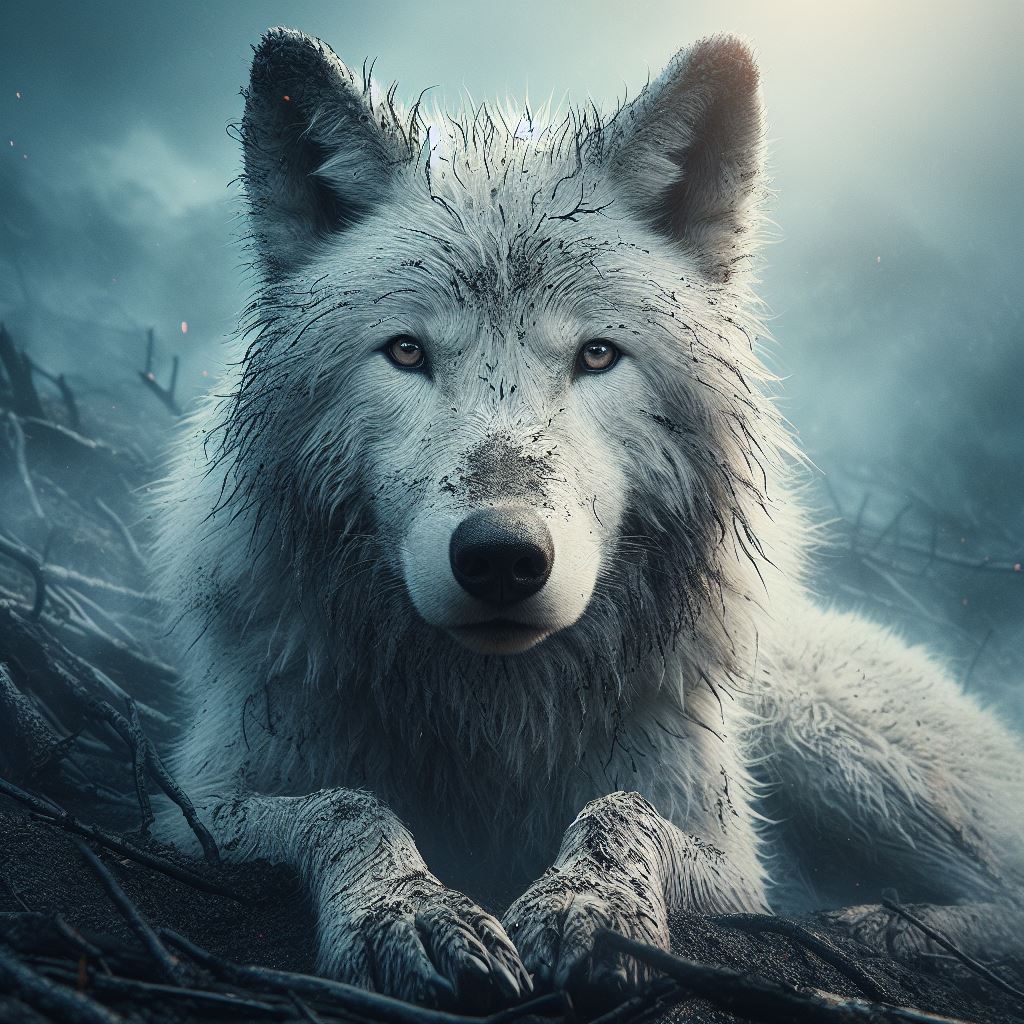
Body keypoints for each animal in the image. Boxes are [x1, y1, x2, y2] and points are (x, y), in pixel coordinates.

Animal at [155, 27, 1024, 1003]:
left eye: (598, 356)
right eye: (407, 352)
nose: (500, 557)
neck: (492, 712)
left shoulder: (733, 863)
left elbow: (621, 811)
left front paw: (592, 910)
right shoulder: (195, 805)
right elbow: (348, 805)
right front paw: (408, 910)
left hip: (827, 736)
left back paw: (876, 925)